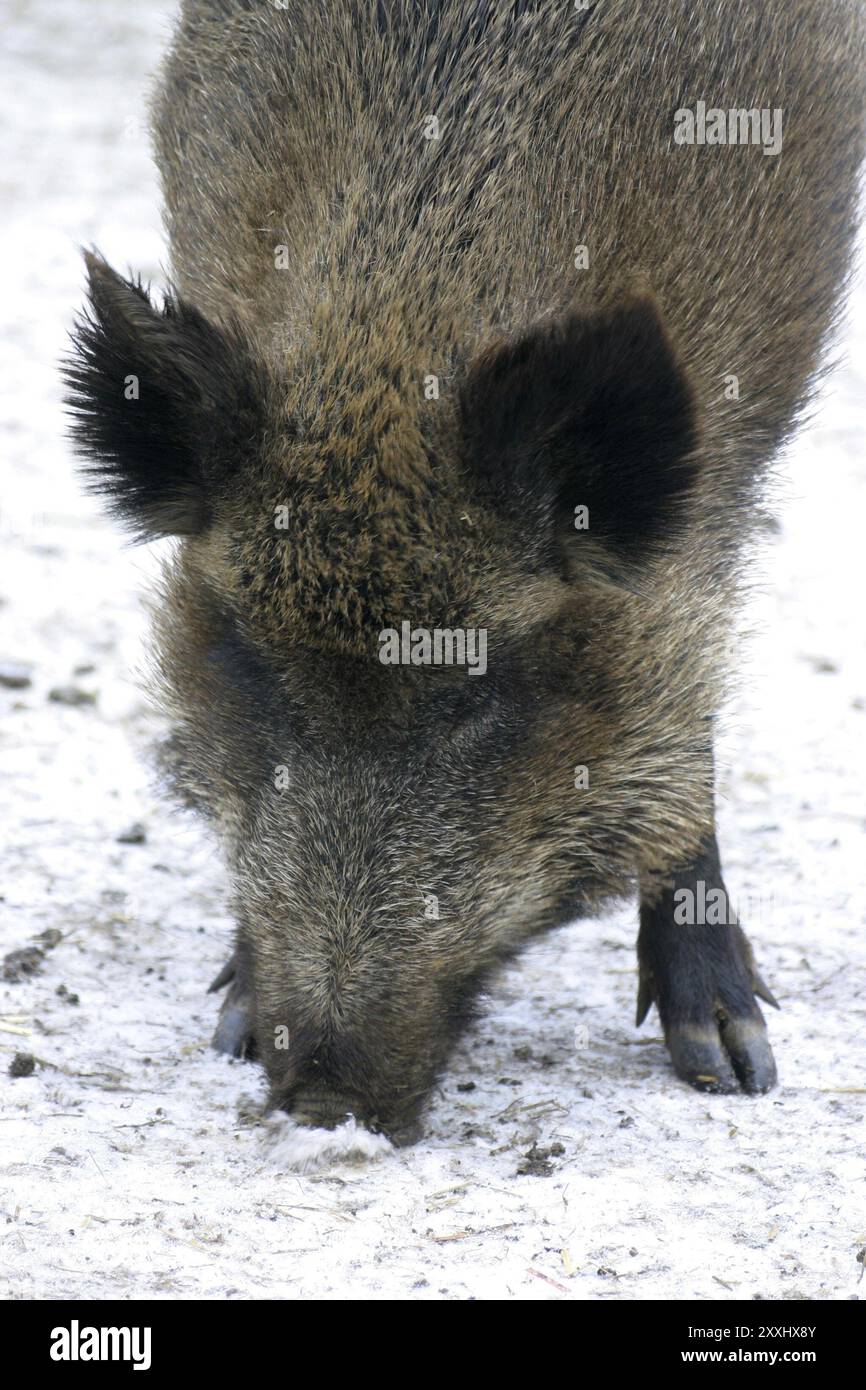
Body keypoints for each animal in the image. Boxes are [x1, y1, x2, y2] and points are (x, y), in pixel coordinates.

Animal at [64, 1, 865, 1142]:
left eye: (482, 691)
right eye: (250, 667)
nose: (323, 1096)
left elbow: (682, 699)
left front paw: (732, 1065)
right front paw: (230, 1021)